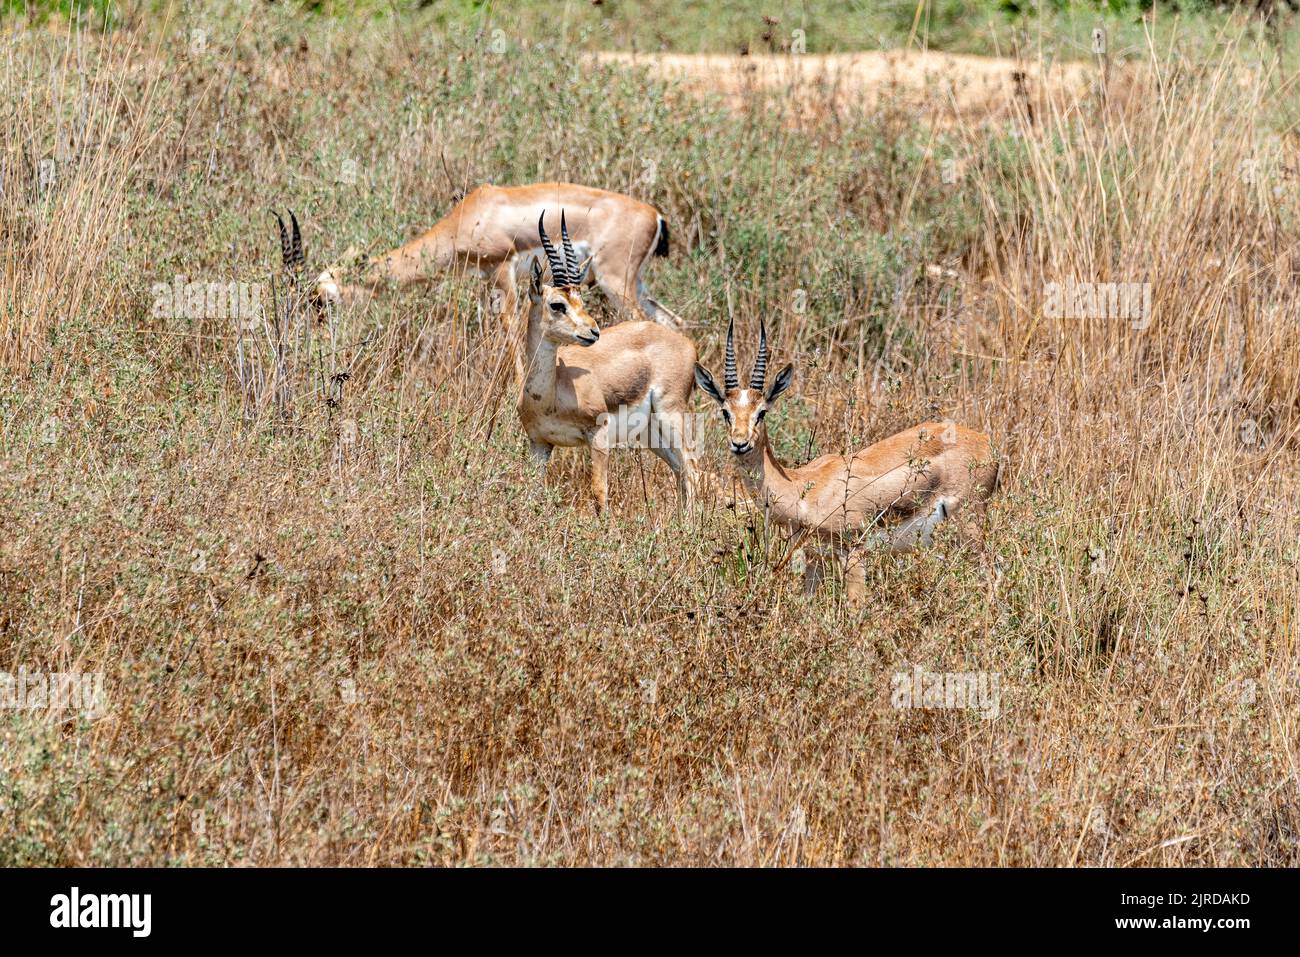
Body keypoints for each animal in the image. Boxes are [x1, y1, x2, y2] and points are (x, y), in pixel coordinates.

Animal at [519, 211, 698, 514]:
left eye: (580, 300)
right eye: (557, 304)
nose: (593, 332)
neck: (550, 395)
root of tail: (687, 345)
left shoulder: (598, 436)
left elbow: (599, 493)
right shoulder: (539, 444)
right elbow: (531, 494)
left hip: (671, 415)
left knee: (693, 468)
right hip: (650, 433)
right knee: (680, 470)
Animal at [695, 320, 1000, 601]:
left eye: (761, 412)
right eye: (725, 411)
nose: (740, 444)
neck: (802, 488)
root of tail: (986, 443)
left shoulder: (854, 553)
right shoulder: (815, 556)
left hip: (969, 526)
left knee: (991, 574)